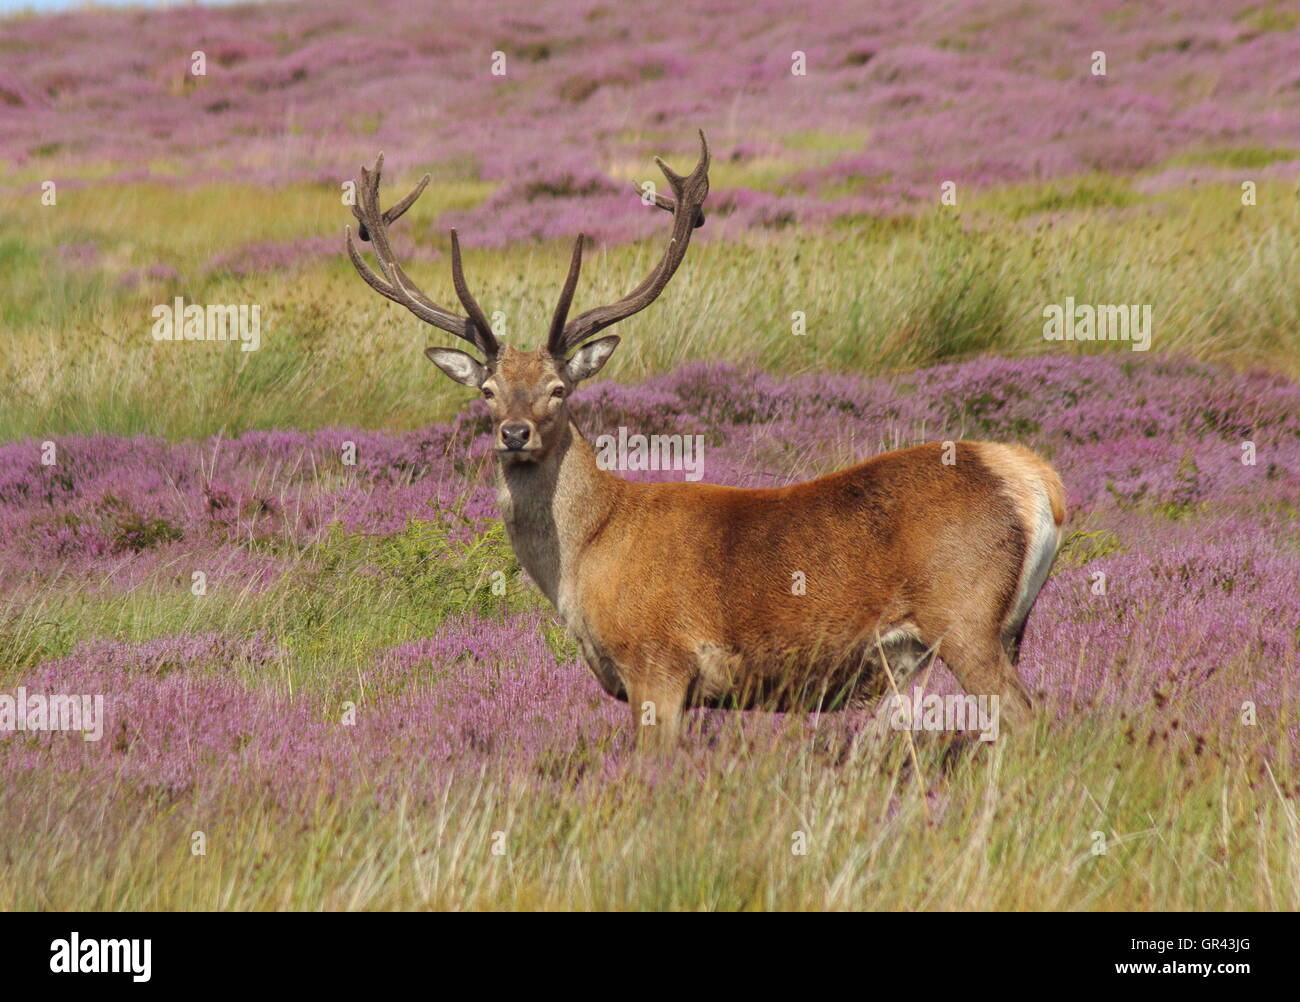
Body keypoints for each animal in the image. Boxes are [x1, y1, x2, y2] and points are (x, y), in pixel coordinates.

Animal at [345, 131, 1066, 750]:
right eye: (487, 390)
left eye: (558, 389)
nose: (514, 433)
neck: (586, 556)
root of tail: (1034, 480)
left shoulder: (658, 662)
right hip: (1005, 628)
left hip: (965, 618)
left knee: (1030, 719)